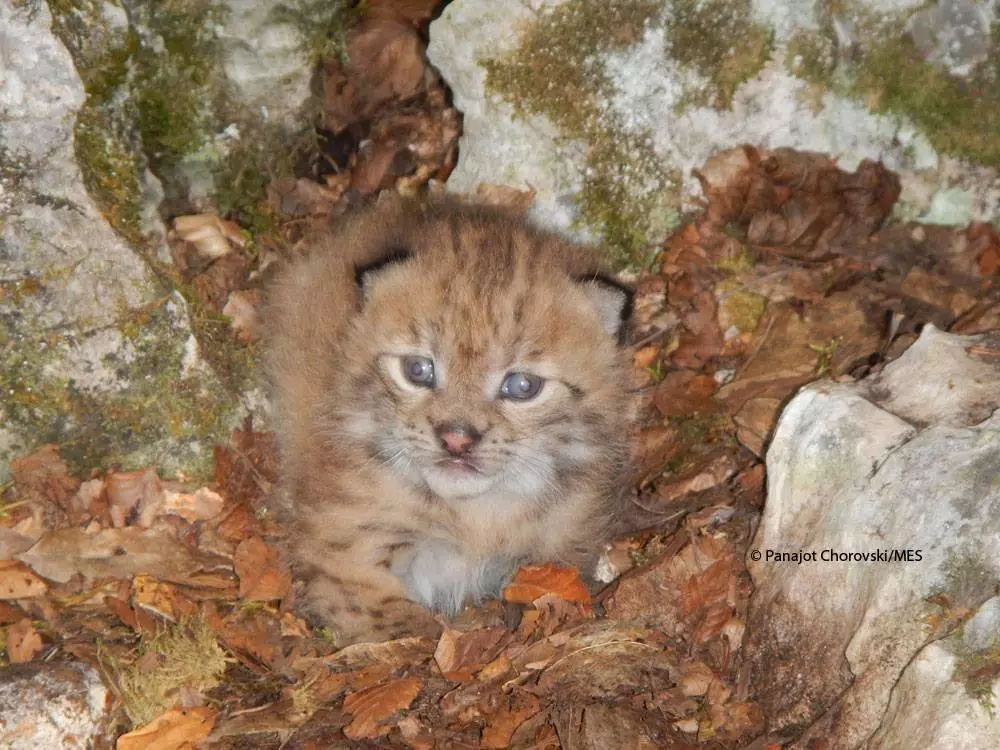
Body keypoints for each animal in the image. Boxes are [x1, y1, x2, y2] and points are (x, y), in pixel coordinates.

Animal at [268, 200, 632, 648]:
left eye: (522, 386)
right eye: (418, 370)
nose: (457, 440)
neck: (473, 514)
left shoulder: (563, 541)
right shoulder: (343, 555)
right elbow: (389, 620)